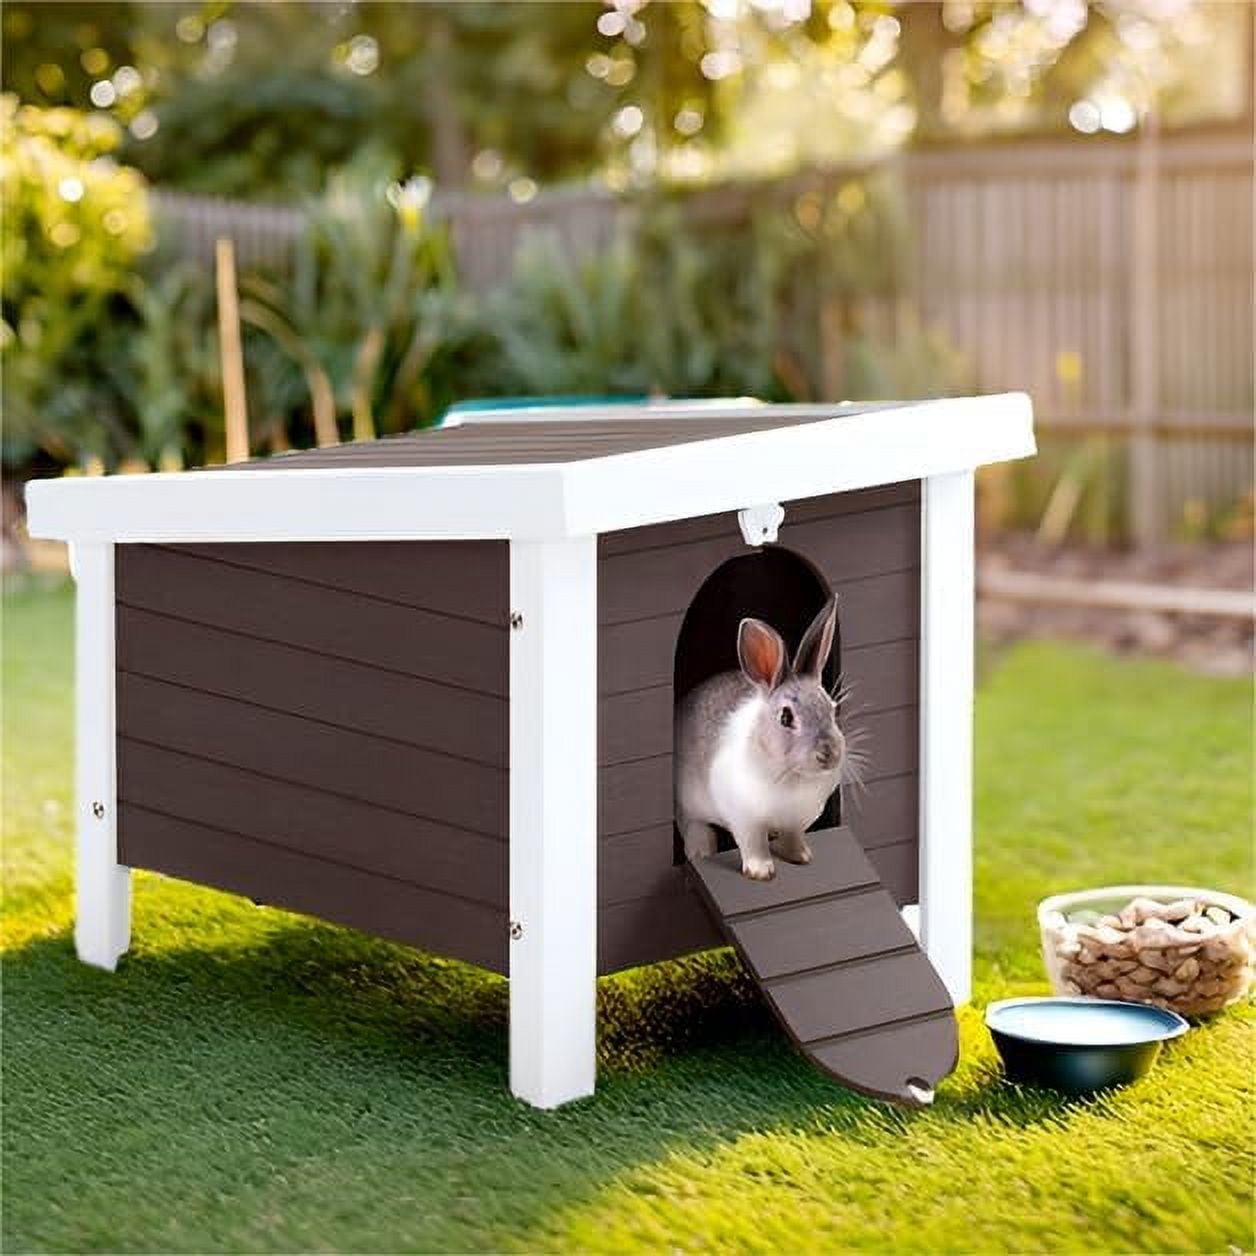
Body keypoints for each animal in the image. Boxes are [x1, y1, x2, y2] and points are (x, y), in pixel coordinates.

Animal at [675, 594, 844, 881]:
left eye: (831, 708)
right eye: (786, 717)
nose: (830, 753)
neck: (791, 775)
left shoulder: (796, 821)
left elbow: (792, 837)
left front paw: (801, 857)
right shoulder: (745, 819)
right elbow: (753, 844)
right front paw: (761, 872)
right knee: (691, 824)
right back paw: (701, 850)